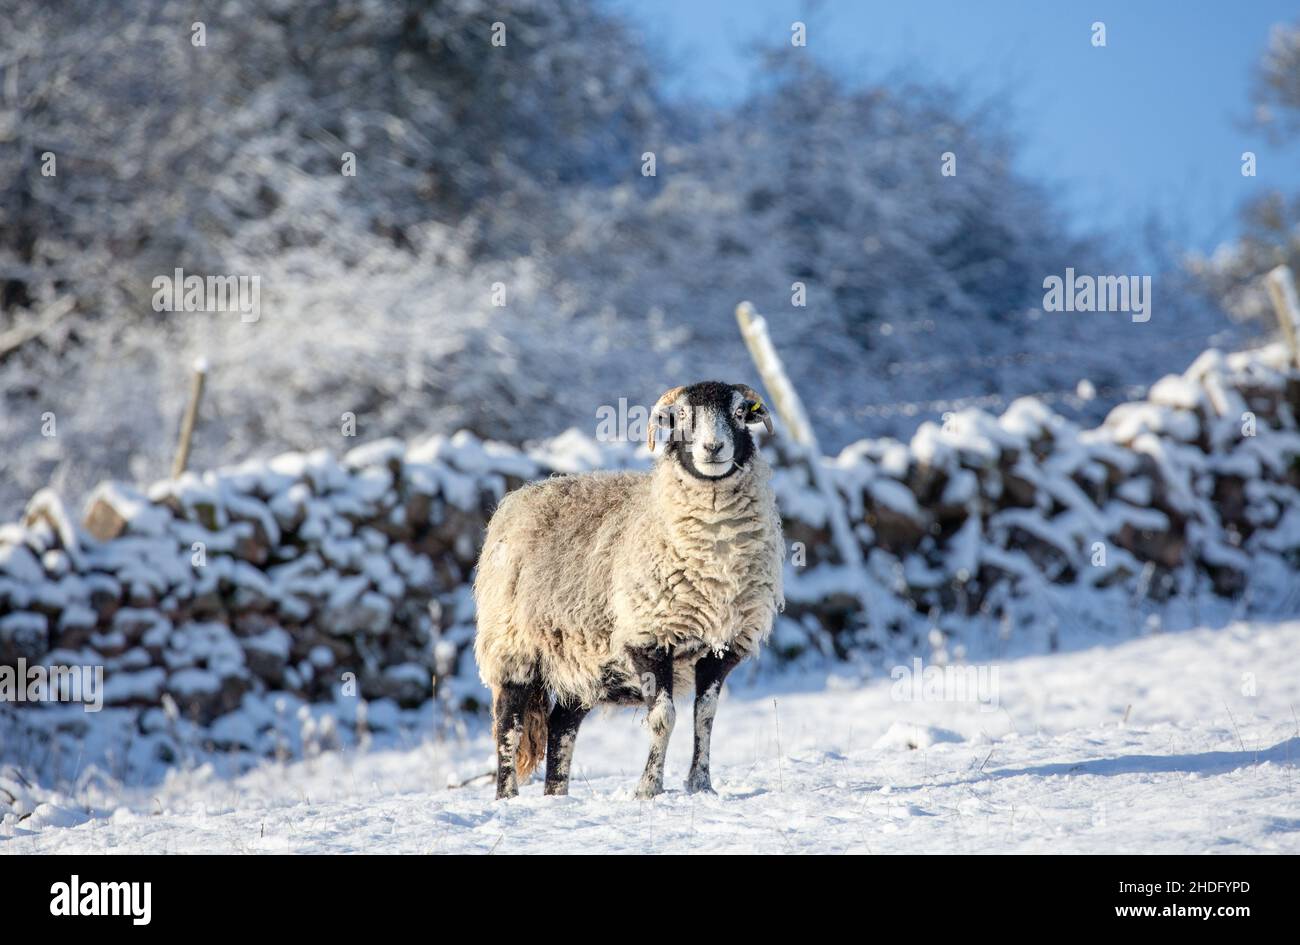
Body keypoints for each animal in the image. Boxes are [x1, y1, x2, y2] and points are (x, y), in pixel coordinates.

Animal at [473, 381, 784, 799]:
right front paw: (648, 789)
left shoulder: (722, 649)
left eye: (738, 413)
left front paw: (701, 785)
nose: (713, 448)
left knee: (561, 726)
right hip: (512, 645)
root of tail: (525, 493)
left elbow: (705, 718)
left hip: (580, 660)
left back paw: (557, 796)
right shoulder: (648, 639)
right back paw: (507, 797)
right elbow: (664, 717)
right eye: (680, 415)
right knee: (508, 724)